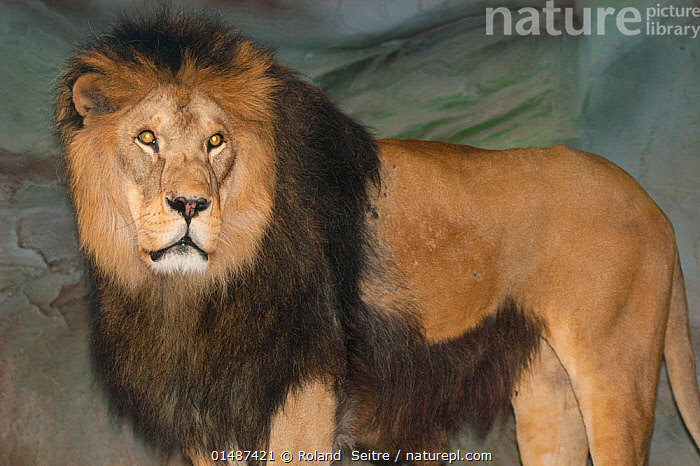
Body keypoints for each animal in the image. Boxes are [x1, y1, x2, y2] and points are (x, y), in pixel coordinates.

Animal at [54, 11, 700, 466]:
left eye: (216, 141)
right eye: (147, 137)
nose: (190, 205)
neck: (192, 295)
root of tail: (654, 206)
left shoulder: (305, 394)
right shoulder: (211, 413)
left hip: (615, 371)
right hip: (546, 385)